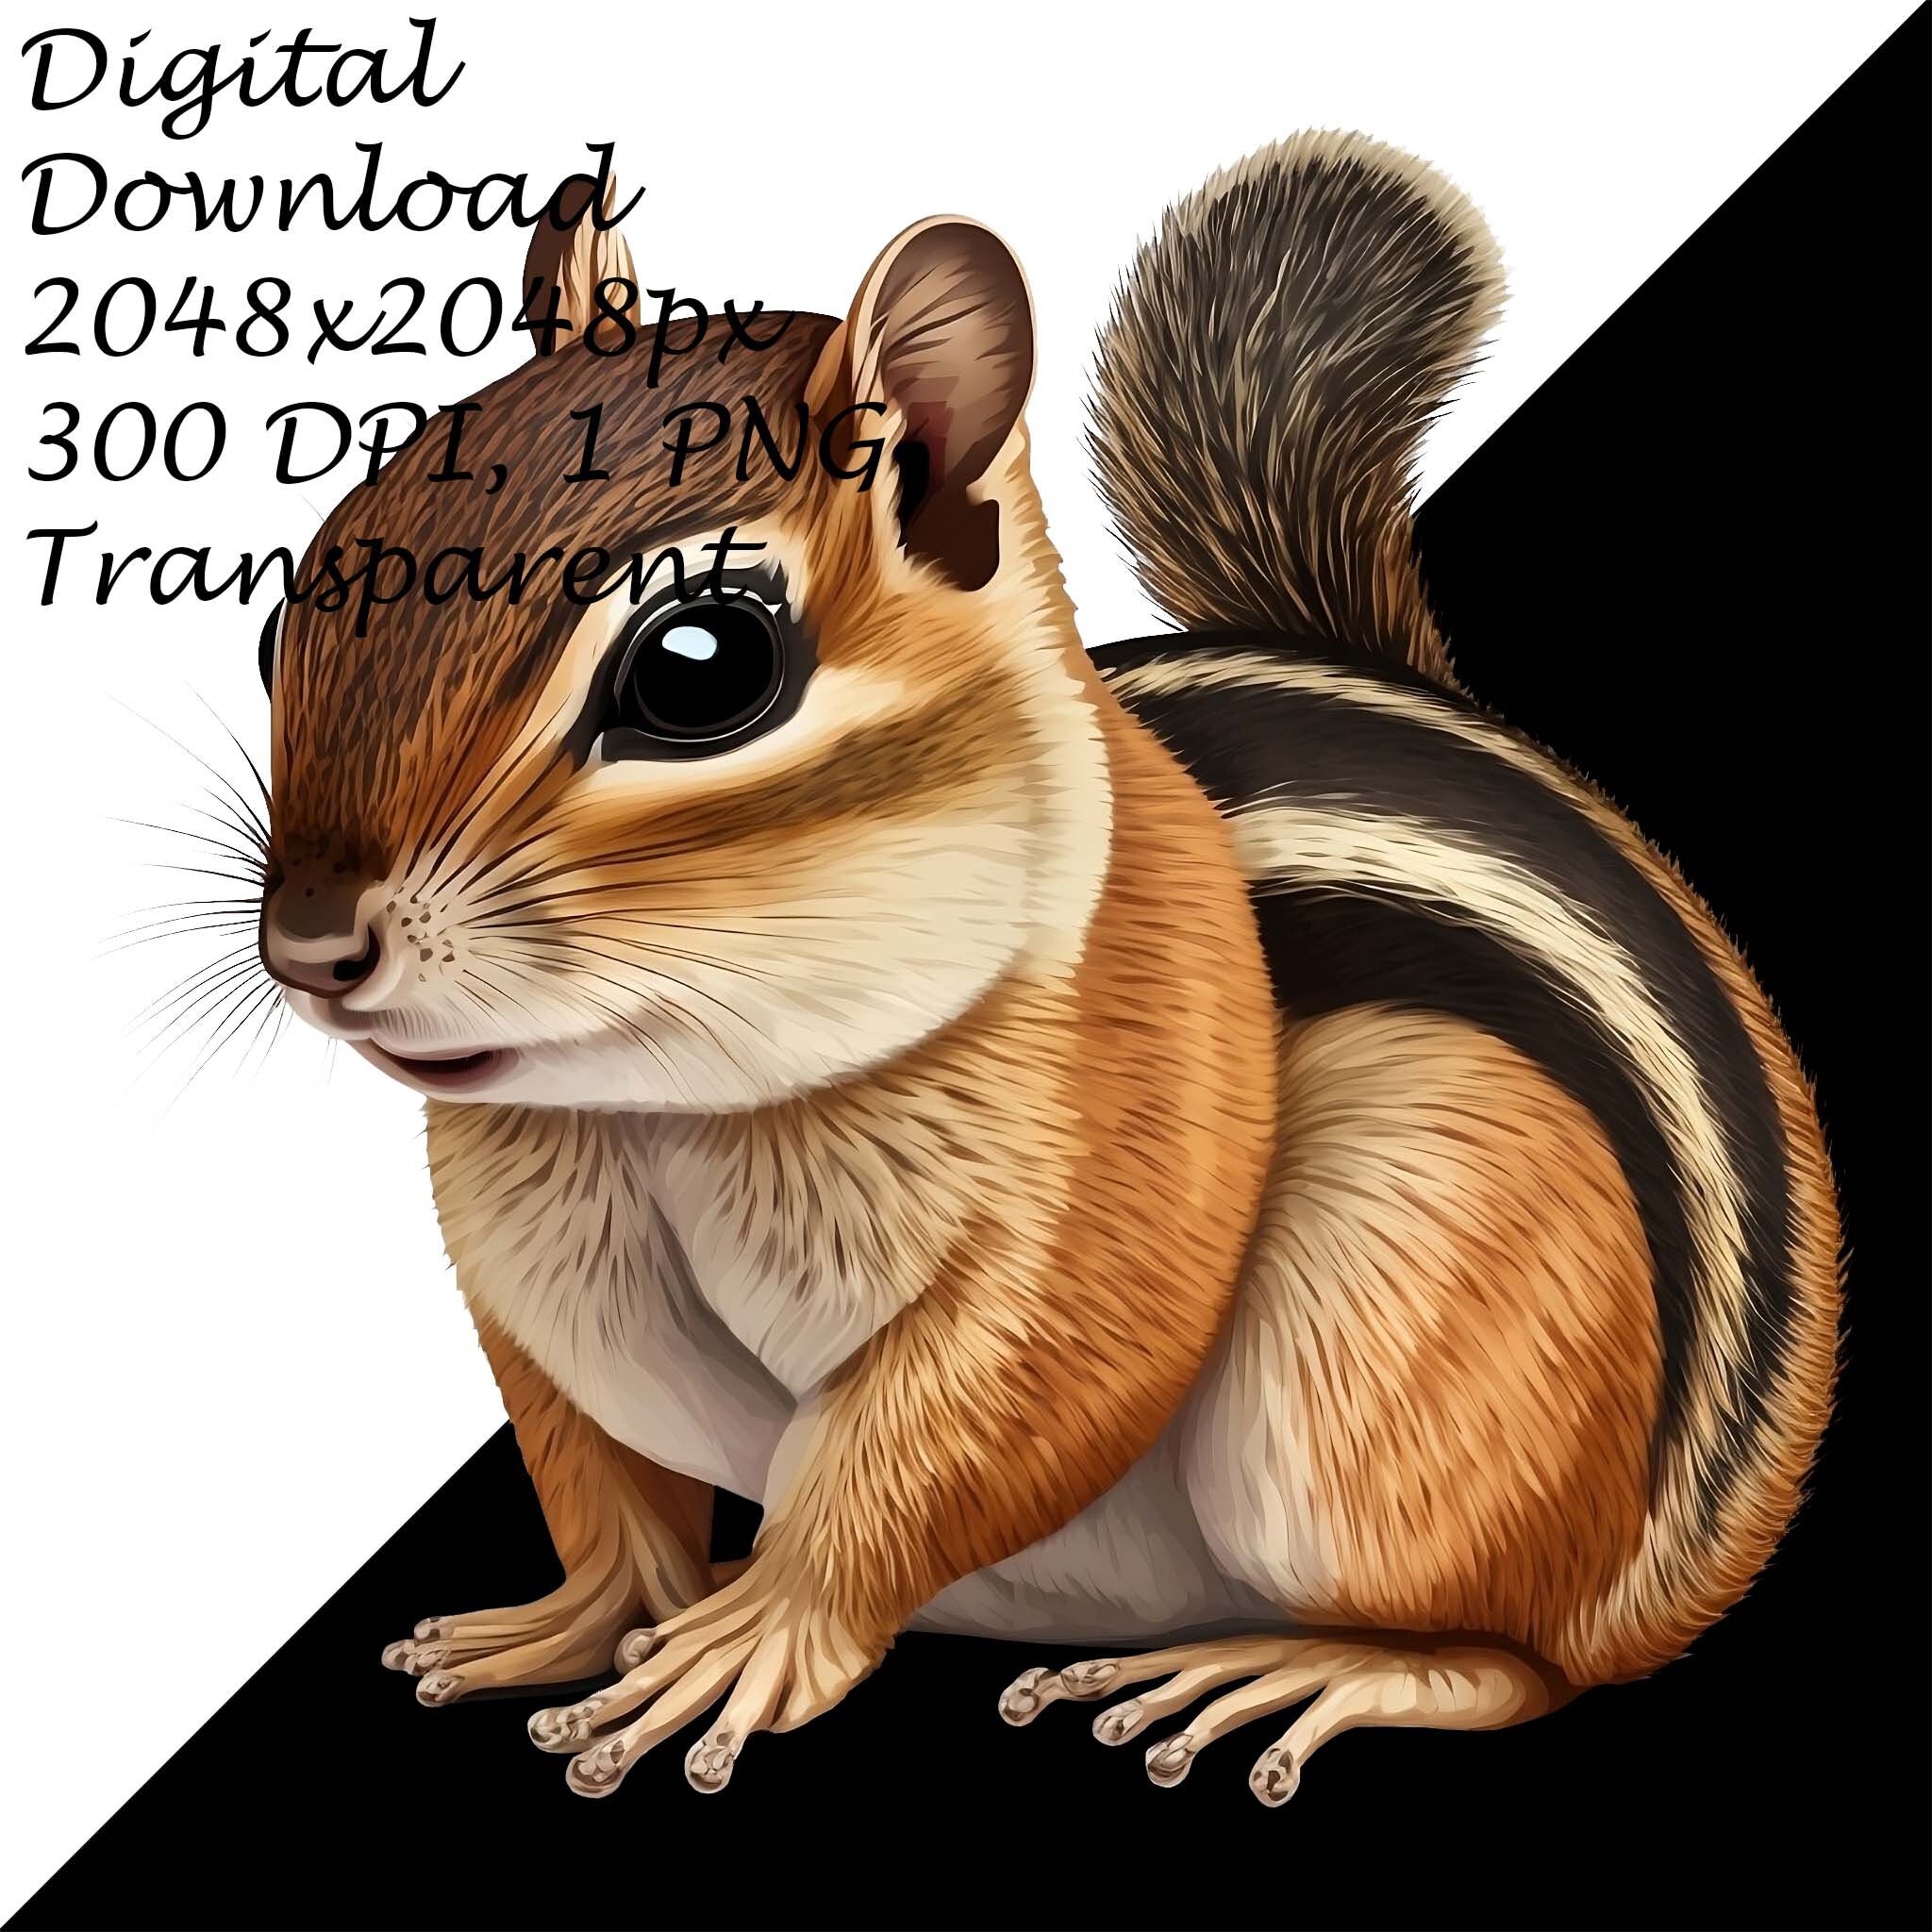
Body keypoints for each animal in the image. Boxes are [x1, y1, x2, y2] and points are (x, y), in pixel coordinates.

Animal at [254, 130, 1841, 1805]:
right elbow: (601, 1489)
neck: (670, 1099)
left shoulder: (1108, 1193)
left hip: (1406, 1300)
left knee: (1518, 1660)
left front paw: (760, 1635)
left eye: (703, 665)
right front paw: (574, 1624)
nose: (312, 946)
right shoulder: (532, 1303)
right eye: (298, 598)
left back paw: (1293, 1669)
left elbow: (972, 1428)